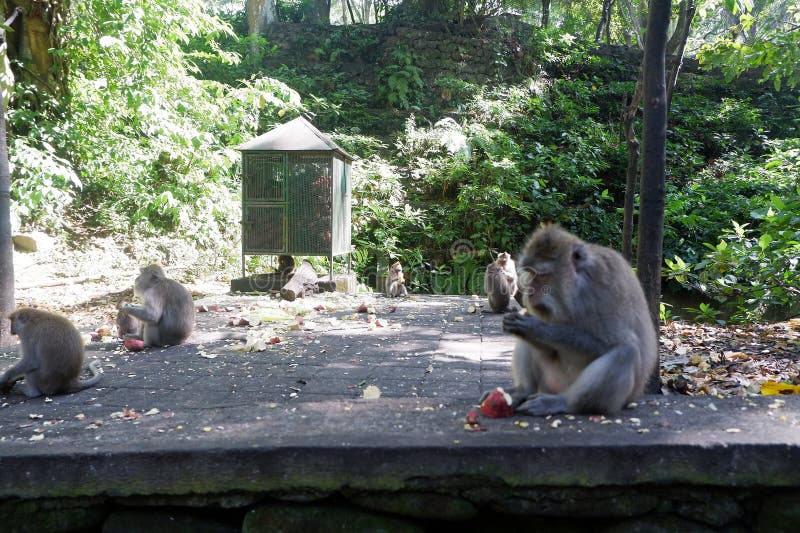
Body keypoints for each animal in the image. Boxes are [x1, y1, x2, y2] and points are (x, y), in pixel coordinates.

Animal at [487, 224, 657, 416]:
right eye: (529, 273)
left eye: (542, 275)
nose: (529, 292)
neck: (576, 288)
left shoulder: (603, 287)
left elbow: (611, 343)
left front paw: (535, 328)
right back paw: (523, 391)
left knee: (625, 352)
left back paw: (565, 403)